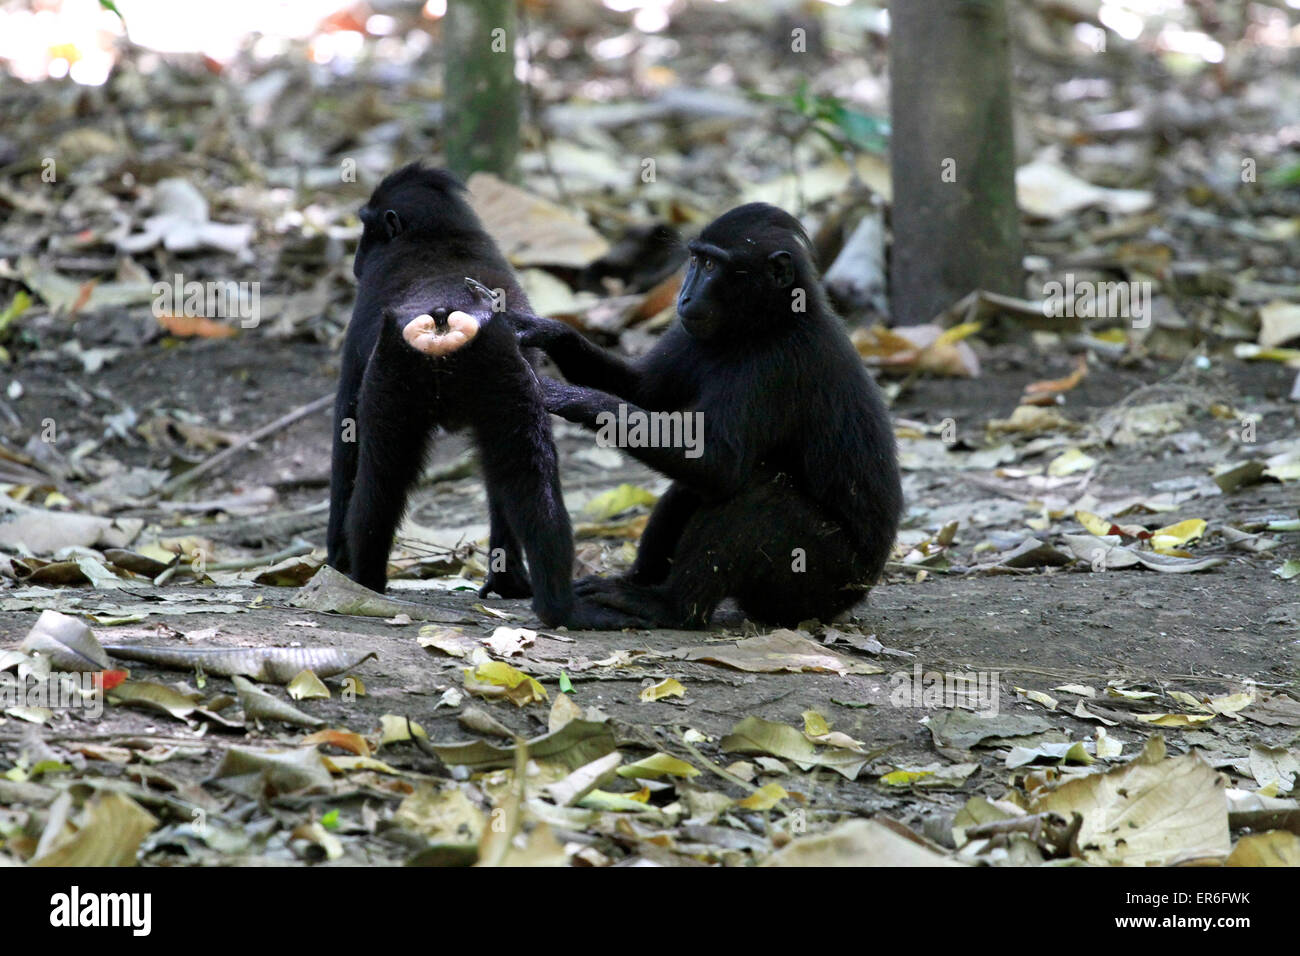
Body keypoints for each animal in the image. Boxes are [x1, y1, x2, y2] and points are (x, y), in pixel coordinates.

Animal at [325, 163, 630, 629]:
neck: (439, 236)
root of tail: (442, 315)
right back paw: (558, 607)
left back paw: (364, 584)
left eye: (366, 226)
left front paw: (334, 560)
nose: (357, 259)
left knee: (379, 481)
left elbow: (347, 425)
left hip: (408, 385)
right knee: (529, 482)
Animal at [490, 202, 903, 629]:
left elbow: (719, 466)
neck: (767, 324)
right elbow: (645, 393)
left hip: (822, 582)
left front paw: (572, 398)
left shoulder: (777, 365)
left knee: (760, 495)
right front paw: (544, 330)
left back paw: (668, 606)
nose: (684, 296)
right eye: (694, 260)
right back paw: (635, 582)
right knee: (690, 489)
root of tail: (861, 588)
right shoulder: (690, 336)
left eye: (711, 265)